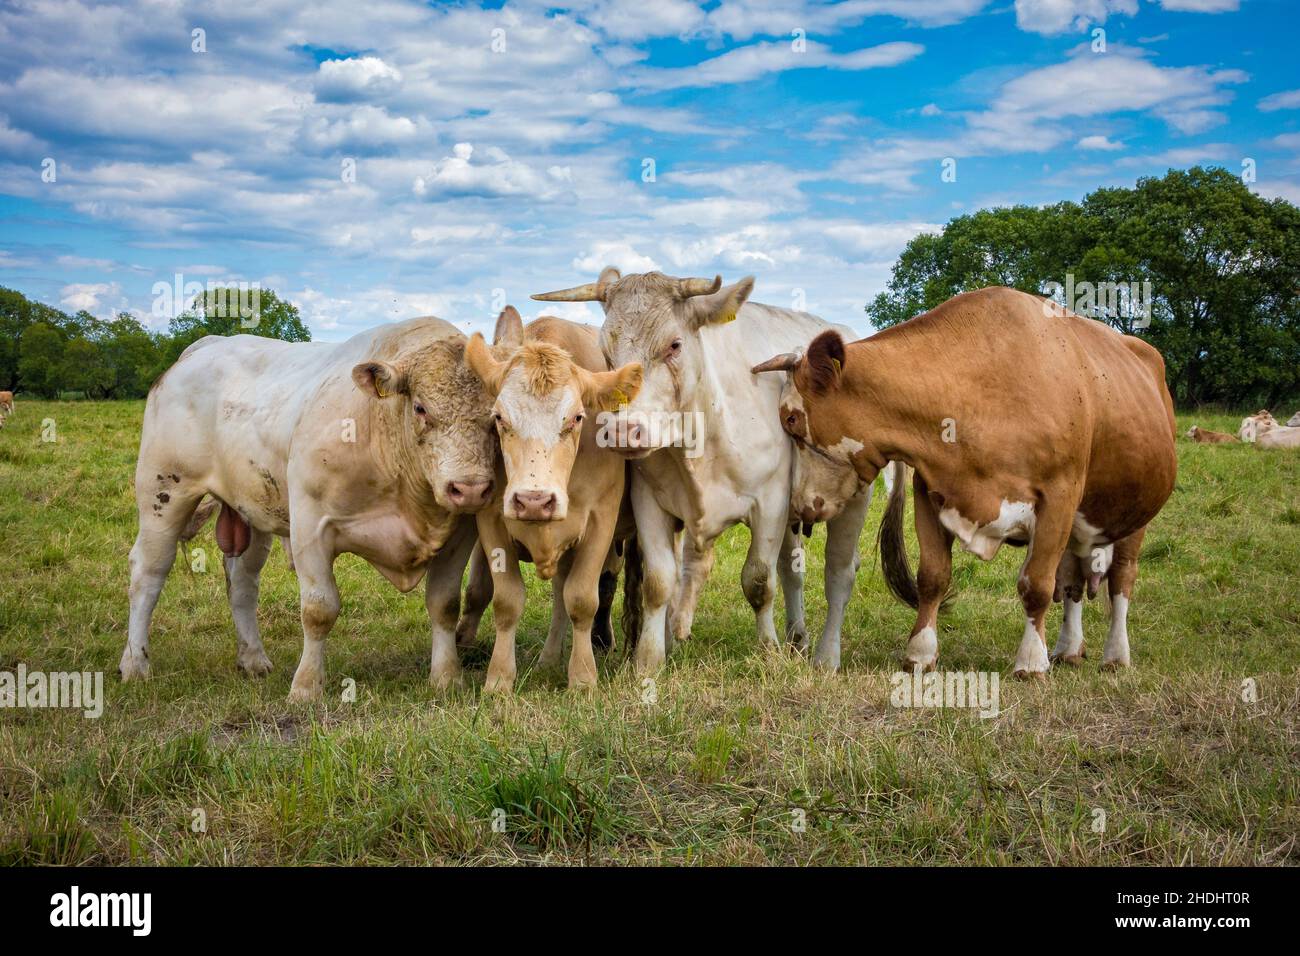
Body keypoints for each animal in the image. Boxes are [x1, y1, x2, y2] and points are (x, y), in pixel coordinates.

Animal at [121, 317, 498, 700]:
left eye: (495, 417)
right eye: (421, 408)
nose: (469, 488)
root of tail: (206, 345)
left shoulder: (459, 533)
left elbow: (444, 605)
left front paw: (446, 677)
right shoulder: (311, 525)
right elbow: (319, 609)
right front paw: (305, 687)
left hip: (253, 510)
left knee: (242, 581)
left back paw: (253, 658)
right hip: (163, 491)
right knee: (148, 572)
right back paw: (135, 663)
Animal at [454, 307, 643, 691]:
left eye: (577, 418)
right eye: (499, 417)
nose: (534, 501)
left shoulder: (601, 521)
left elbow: (583, 599)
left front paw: (583, 677)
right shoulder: (492, 522)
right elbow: (507, 601)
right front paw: (499, 679)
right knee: (558, 594)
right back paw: (550, 657)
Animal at [532, 269, 871, 673]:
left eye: (674, 345)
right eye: (606, 353)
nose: (622, 431)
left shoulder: (770, 503)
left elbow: (759, 581)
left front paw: (768, 651)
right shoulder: (651, 502)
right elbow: (659, 583)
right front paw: (648, 660)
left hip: (852, 501)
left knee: (839, 574)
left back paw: (825, 656)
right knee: (793, 573)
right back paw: (797, 637)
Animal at [754, 287, 1176, 678]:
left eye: (791, 420)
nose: (799, 507)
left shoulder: (1059, 495)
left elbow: (1037, 585)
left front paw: (1030, 661)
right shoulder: (931, 489)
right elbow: (932, 577)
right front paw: (920, 653)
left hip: (1133, 514)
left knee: (1121, 579)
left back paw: (1115, 655)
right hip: (1081, 522)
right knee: (1071, 579)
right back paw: (1068, 648)